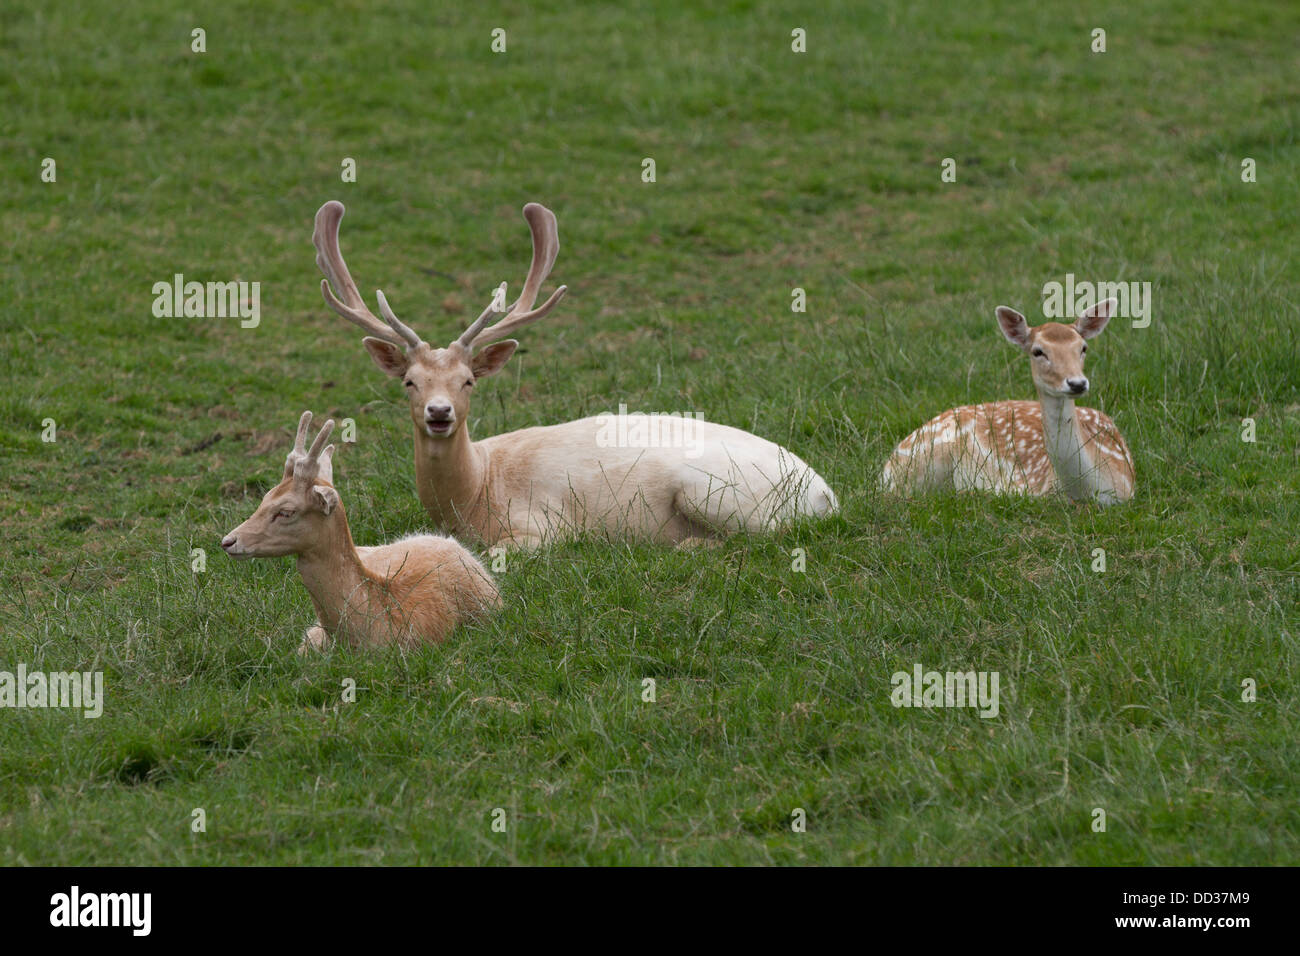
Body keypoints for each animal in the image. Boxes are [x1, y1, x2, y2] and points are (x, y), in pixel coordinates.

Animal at [311, 200, 839, 548]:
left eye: (468, 381)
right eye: (409, 382)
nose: (439, 413)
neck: (477, 492)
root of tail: (825, 495)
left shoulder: (546, 523)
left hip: (715, 493)